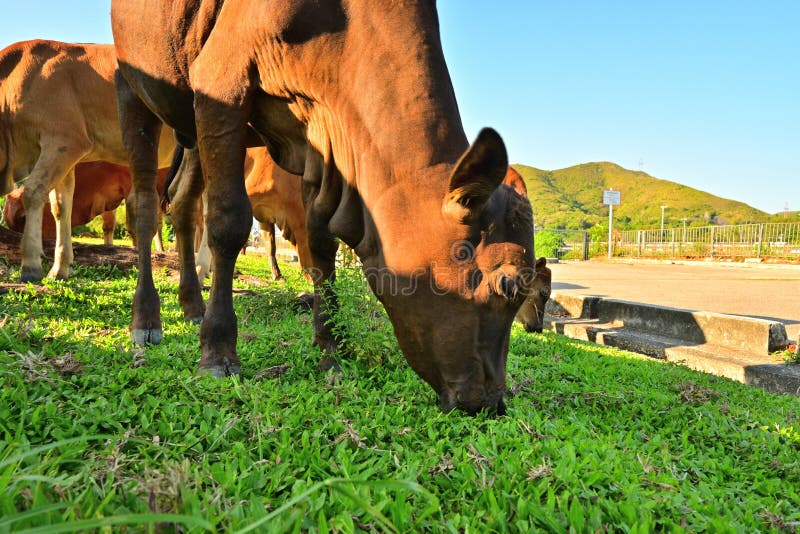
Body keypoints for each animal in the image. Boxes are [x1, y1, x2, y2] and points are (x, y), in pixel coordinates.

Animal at [112, 1, 535, 414]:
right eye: (508, 286)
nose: (493, 402)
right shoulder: (221, 84)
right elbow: (229, 223)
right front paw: (218, 352)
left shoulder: (317, 137)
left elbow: (321, 244)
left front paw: (330, 349)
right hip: (132, 89)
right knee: (145, 207)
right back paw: (146, 319)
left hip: (192, 128)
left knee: (183, 202)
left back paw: (191, 304)